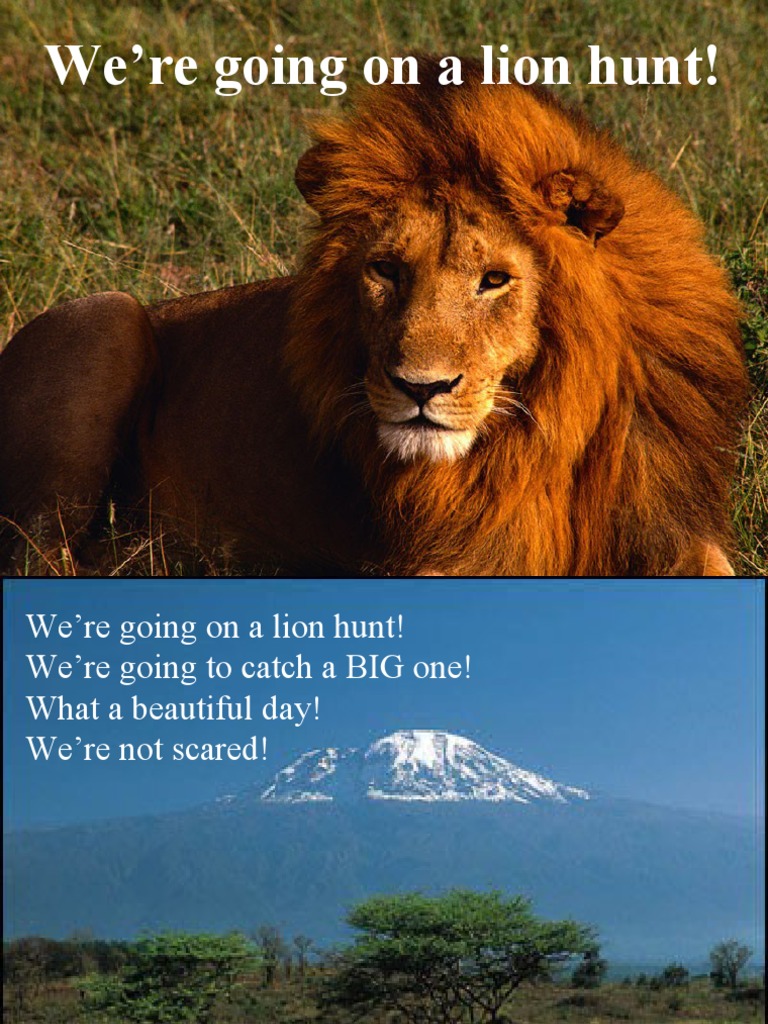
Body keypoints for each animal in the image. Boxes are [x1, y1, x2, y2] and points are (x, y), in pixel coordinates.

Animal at [0, 57, 748, 576]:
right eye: (386, 269)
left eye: (495, 280)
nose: (421, 389)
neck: (550, 429)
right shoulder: (442, 555)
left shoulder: (665, 524)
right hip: (106, 317)